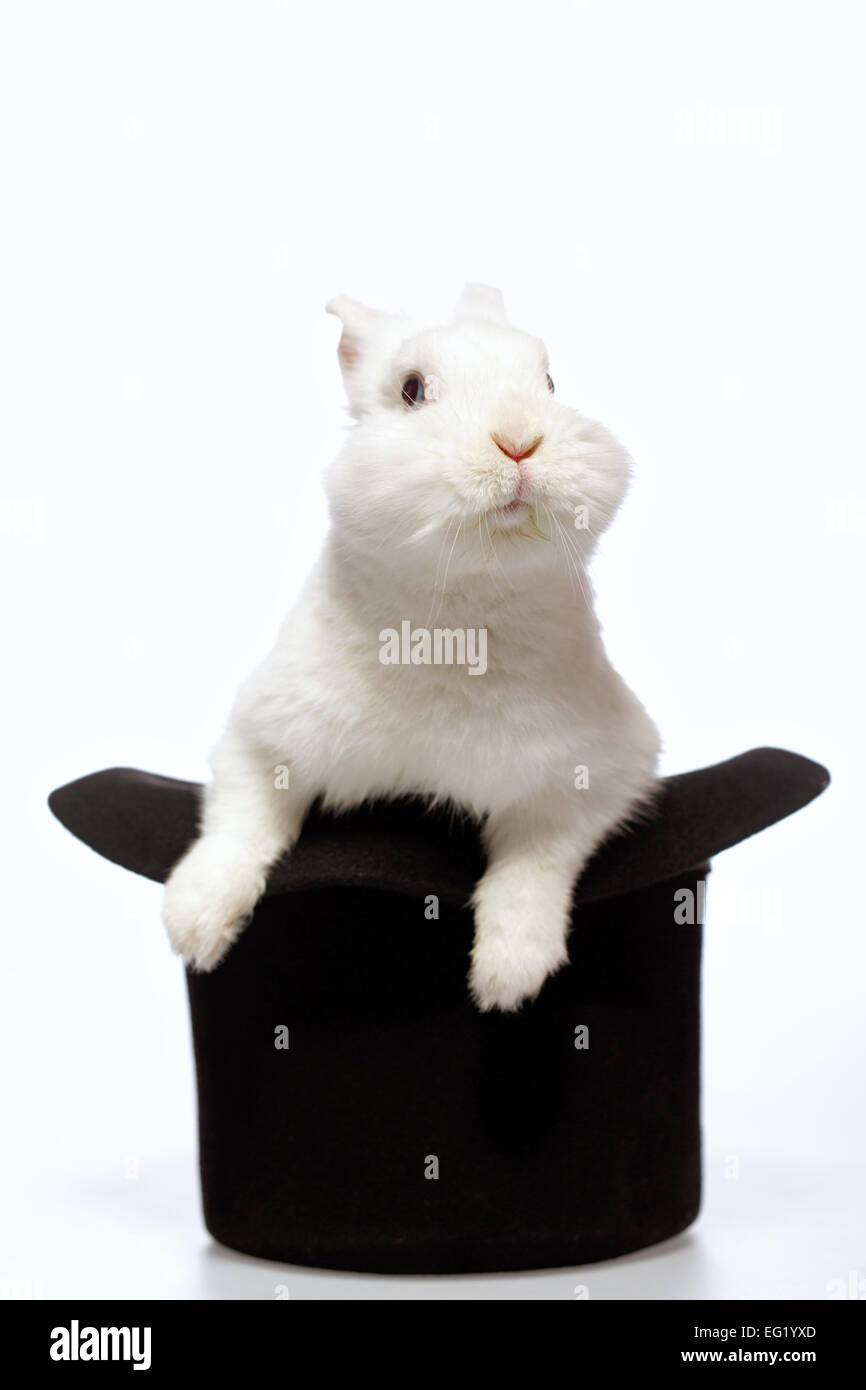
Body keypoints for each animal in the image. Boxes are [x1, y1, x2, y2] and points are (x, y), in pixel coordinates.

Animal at [162, 284, 660, 1012]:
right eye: (412, 389)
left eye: (549, 382)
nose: (519, 443)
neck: (454, 627)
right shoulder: (259, 737)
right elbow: (242, 822)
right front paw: (193, 925)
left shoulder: (595, 777)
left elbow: (534, 868)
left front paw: (508, 977)